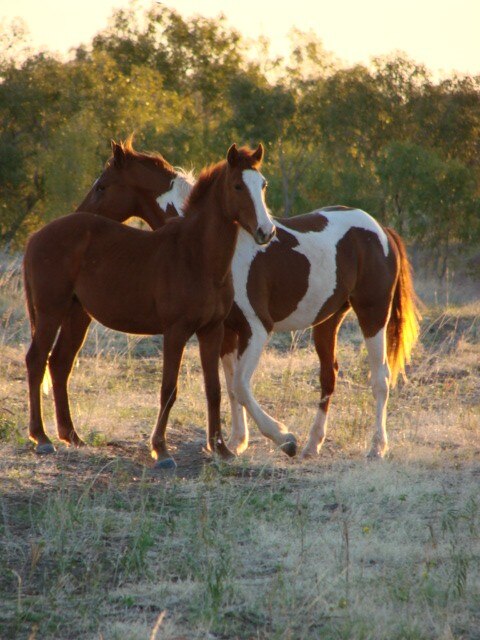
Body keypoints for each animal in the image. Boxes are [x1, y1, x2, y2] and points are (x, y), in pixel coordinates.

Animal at [23, 143, 281, 469]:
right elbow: (168, 389)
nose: (266, 232)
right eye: (237, 185)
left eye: (263, 185)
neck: (196, 256)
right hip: (49, 312)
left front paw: (220, 448)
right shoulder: (175, 332)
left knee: (59, 363)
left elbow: (214, 390)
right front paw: (161, 450)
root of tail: (35, 237)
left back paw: (72, 436)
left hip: (76, 316)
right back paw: (41, 438)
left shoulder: (212, 331)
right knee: (36, 360)